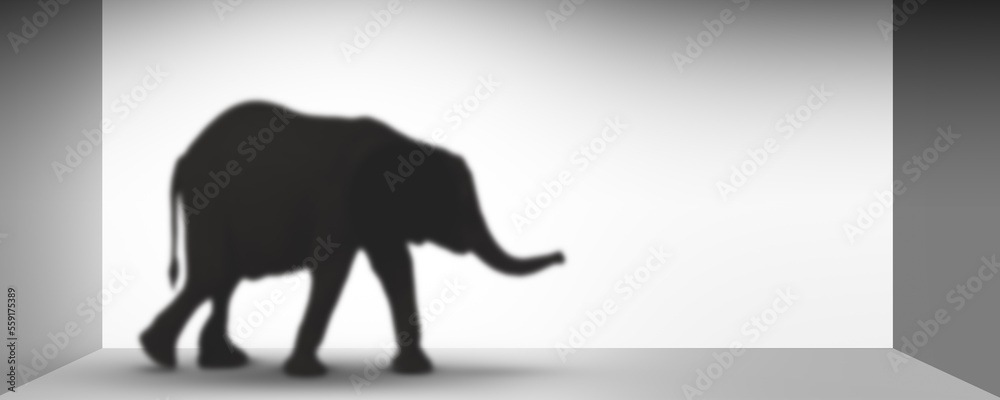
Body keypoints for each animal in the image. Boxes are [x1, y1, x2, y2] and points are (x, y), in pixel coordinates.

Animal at [139, 101, 564, 376]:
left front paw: (414, 371)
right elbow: (334, 271)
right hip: (210, 203)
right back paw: (160, 356)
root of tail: (184, 156)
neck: (405, 146)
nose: (562, 256)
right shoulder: (339, 201)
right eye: (452, 206)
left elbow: (395, 267)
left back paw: (218, 362)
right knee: (213, 275)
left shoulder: (376, 217)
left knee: (223, 279)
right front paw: (306, 374)